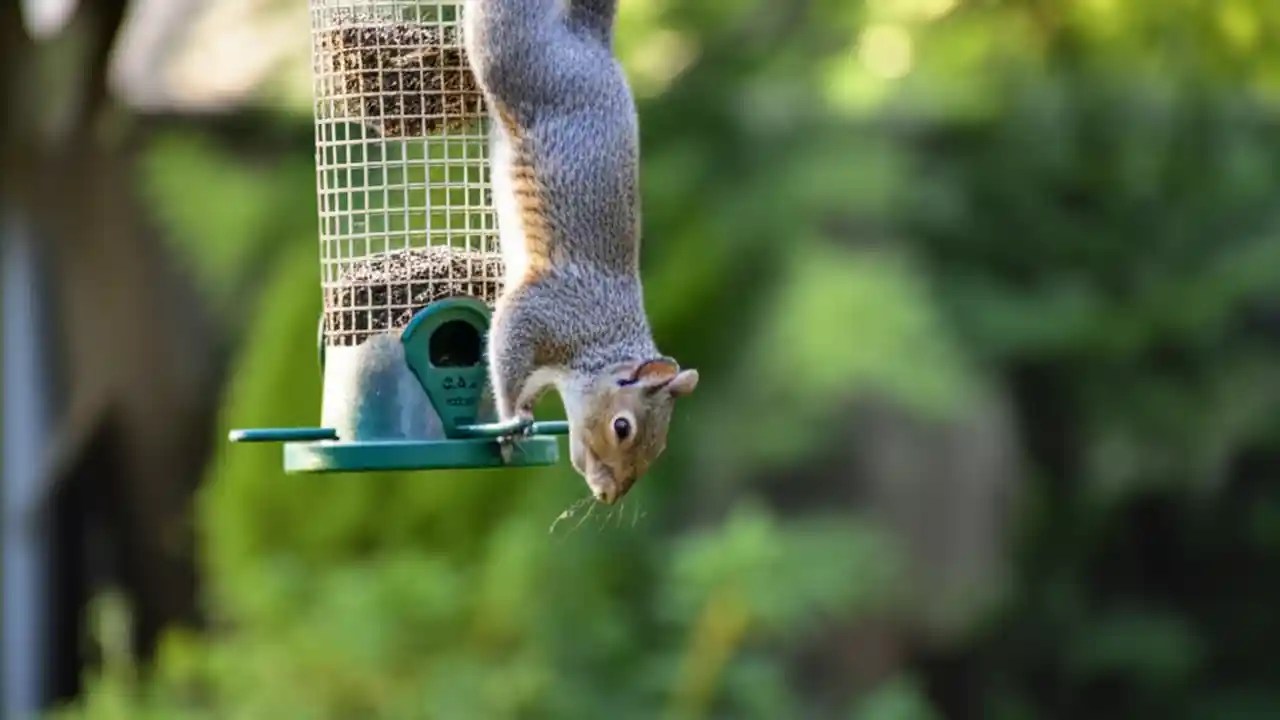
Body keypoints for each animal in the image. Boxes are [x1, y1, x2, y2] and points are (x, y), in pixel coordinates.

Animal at [464, 0, 698, 504]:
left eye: (660, 446)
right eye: (622, 427)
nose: (609, 494)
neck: (599, 343)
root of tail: (591, 42)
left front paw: (524, 413)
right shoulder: (547, 312)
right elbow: (507, 342)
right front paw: (511, 420)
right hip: (518, 57)